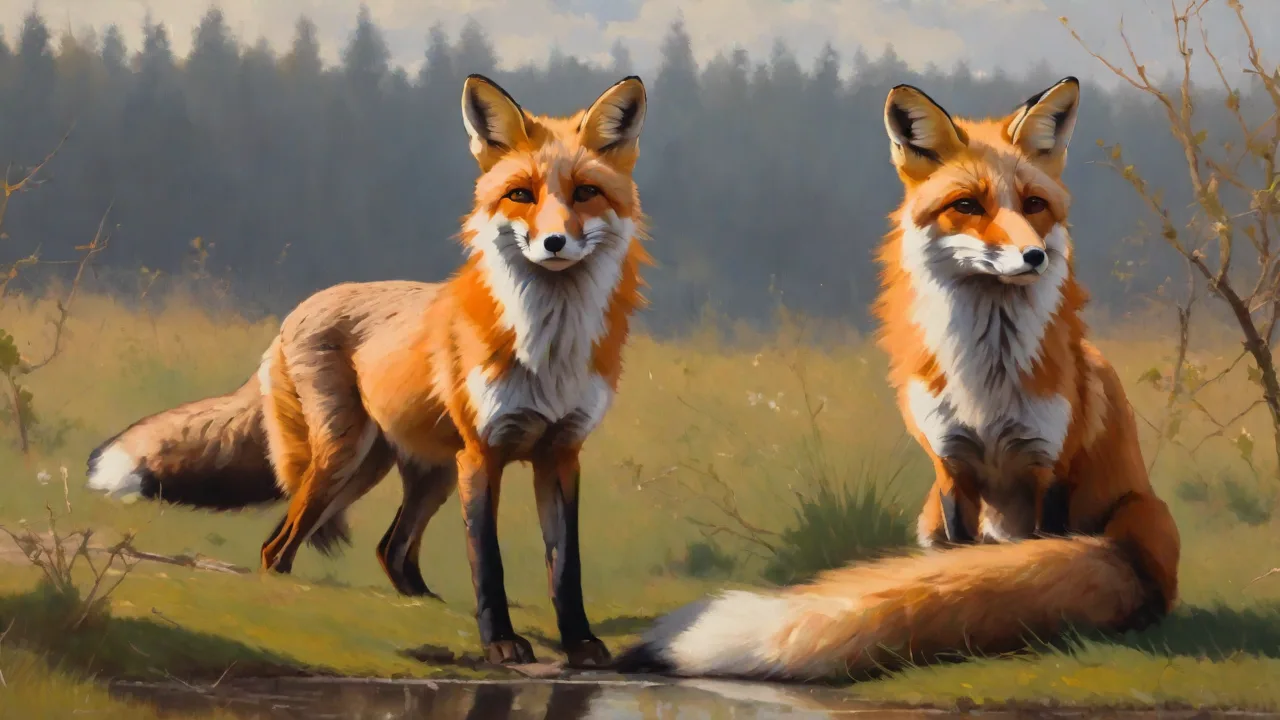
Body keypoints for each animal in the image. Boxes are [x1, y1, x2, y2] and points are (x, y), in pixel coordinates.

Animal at [87, 73, 652, 667]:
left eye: (585, 192)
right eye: (521, 194)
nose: (554, 243)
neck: (547, 347)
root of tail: (296, 312)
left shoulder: (560, 453)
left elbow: (566, 567)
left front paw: (580, 642)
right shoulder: (483, 453)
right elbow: (488, 562)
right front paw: (499, 641)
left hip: (415, 471)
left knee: (389, 549)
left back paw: (426, 605)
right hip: (346, 458)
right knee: (278, 546)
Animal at [614, 77, 1181, 681]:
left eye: (1034, 204)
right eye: (967, 205)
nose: (1033, 255)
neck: (987, 385)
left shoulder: (1050, 465)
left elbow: (1022, 558)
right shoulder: (951, 465)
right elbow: (961, 563)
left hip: (1140, 513)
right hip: (927, 517)